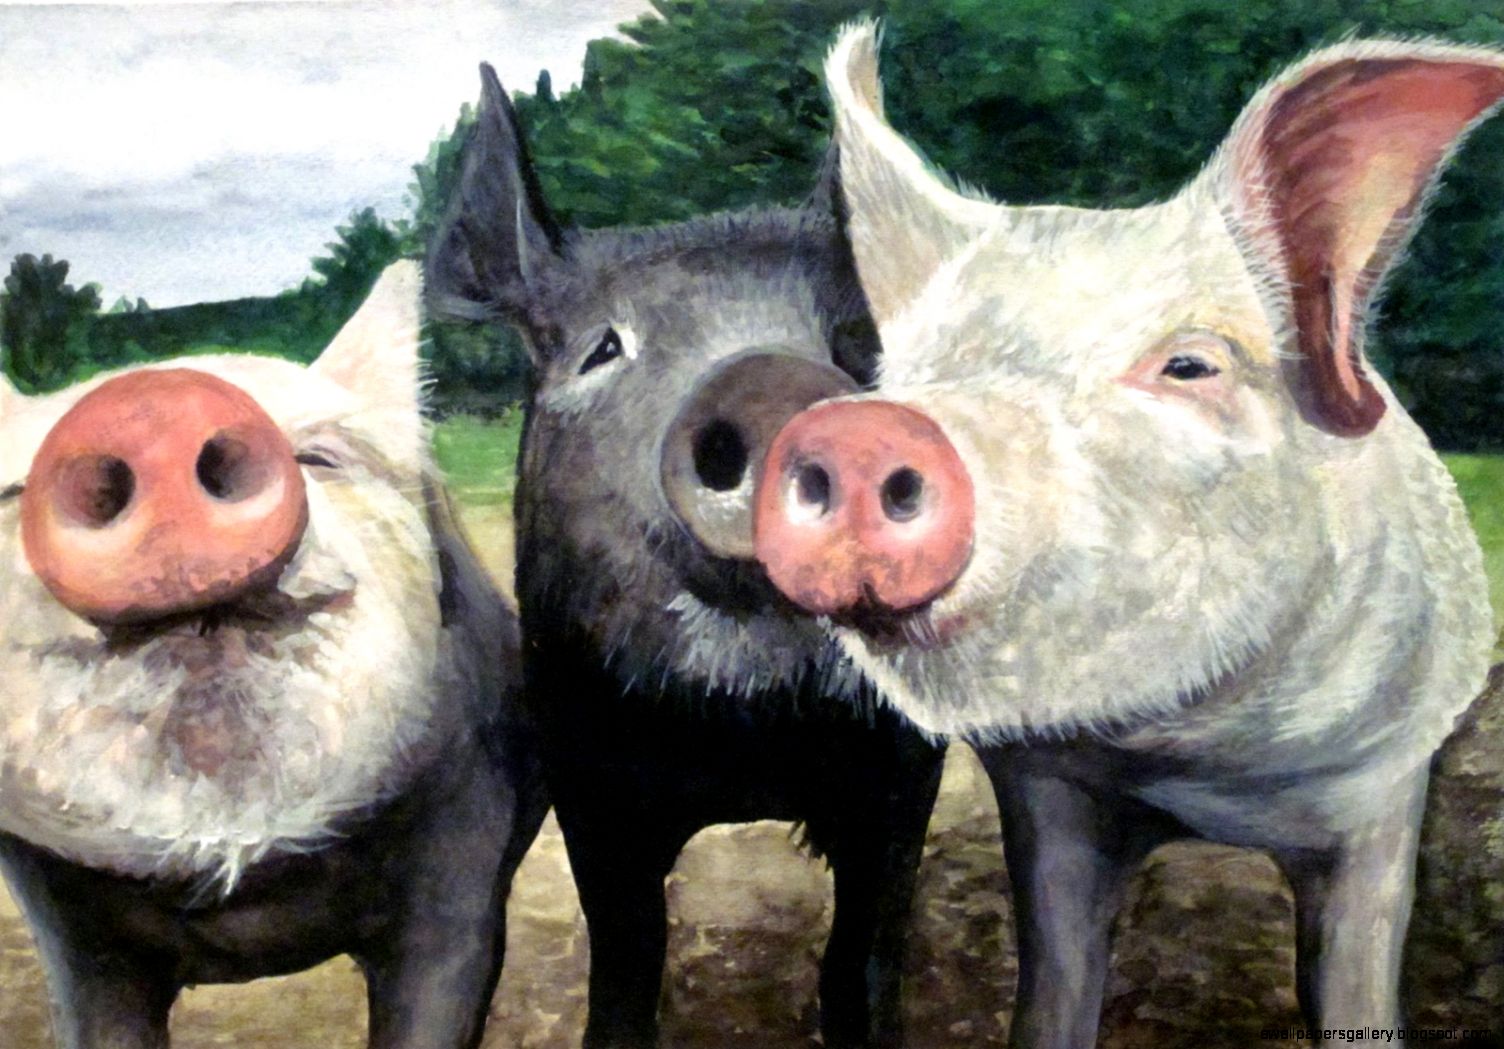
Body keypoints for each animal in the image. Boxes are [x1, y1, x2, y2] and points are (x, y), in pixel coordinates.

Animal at [0, 261, 548, 1049]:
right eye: (12, 491)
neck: (240, 877)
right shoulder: (62, 918)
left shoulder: (464, 846)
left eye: (321, 457)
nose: (157, 406)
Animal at [425, 64, 945, 1049]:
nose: (774, 380)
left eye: (855, 342)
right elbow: (627, 948)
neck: (743, 742)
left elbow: (865, 949)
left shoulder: (905, 764)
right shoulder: (585, 769)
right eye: (602, 348)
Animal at [751, 23, 1504, 1046]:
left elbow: (1355, 978)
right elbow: (1058, 972)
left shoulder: (1384, 782)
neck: (1198, 764)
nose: (862, 428)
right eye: (907, 371)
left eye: (1189, 365)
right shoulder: (1047, 787)